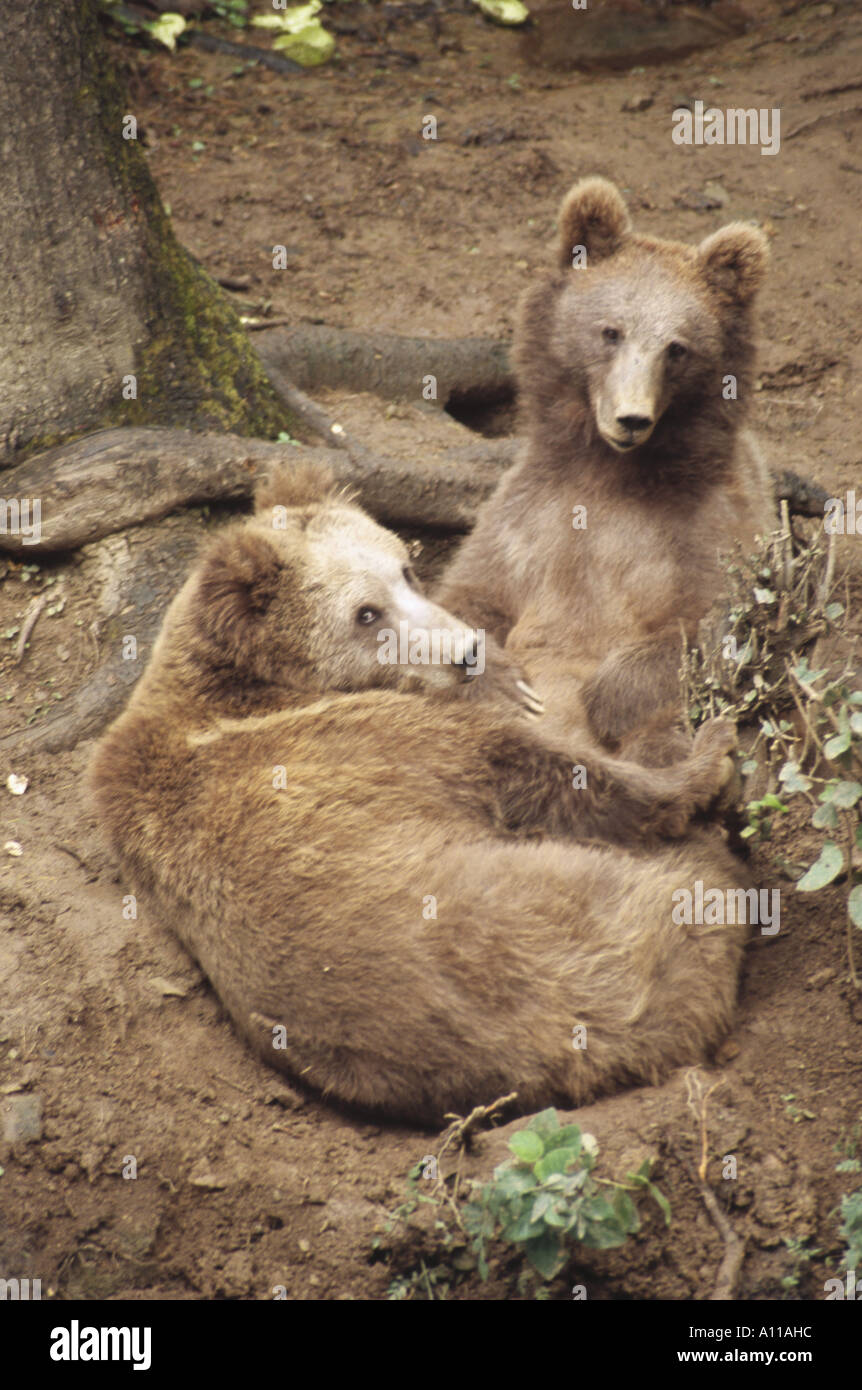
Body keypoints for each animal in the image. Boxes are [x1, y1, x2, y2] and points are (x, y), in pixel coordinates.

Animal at [88, 462, 749, 1126]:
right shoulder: (370, 740)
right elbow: (529, 768)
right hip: (561, 920)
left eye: (404, 568)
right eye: (365, 613)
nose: (467, 652)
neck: (240, 684)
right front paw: (705, 762)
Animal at [436, 176, 776, 765]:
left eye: (677, 348)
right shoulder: (526, 517)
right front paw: (507, 684)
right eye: (611, 331)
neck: (611, 471)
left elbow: (712, 623)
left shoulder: (711, 518)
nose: (631, 418)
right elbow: (470, 595)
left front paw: (605, 696)